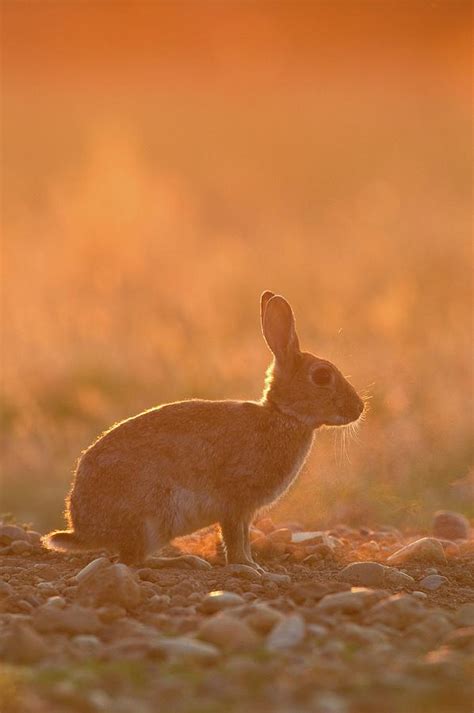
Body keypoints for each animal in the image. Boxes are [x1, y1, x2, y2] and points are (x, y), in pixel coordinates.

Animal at [43, 291, 364, 568]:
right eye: (322, 376)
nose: (359, 408)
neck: (282, 415)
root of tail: (84, 532)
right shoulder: (235, 501)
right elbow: (235, 537)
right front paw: (248, 566)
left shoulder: (245, 510)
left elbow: (243, 536)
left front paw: (252, 563)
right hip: (150, 518)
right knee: (132, 560)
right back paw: (182, 561)